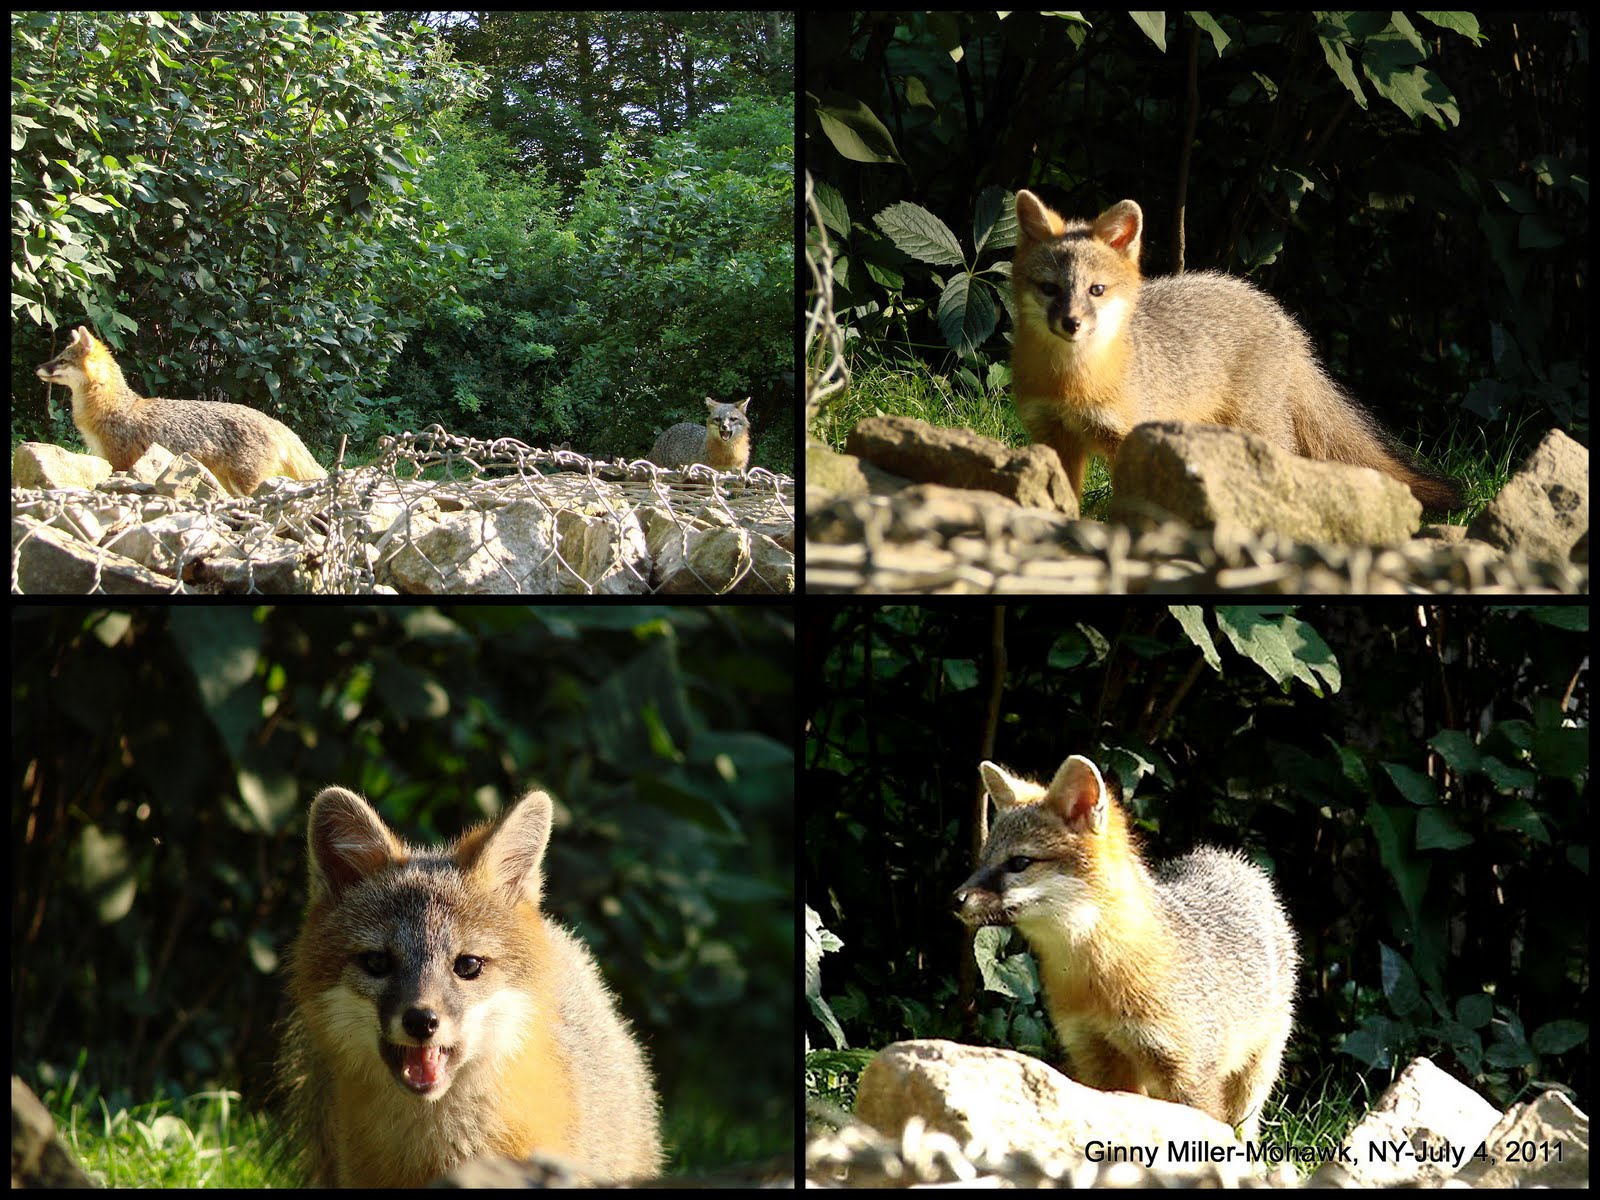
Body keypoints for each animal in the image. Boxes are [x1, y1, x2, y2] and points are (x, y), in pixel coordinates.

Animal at [34, 325, 325, 497]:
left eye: (62, 360)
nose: (38, 368)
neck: (111, 406)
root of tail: (272, 421)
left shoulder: (119, 462)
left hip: (245, 484)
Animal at [953, 754, 1296, 1140]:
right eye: (983, 859)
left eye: (1019, 863)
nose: (956, 899)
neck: (1097, 983)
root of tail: (1228, 859)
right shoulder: (1096, 1056)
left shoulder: (1189, 1071)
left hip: (1255, 1077)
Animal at [1010, 191, 1463, 512]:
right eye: (1049, 288)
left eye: (1096, 290)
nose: (1071, 323)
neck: (1071, 383)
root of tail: (1282, 318)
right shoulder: (1052, 436)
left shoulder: (1128, 436)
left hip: (1256, 431)